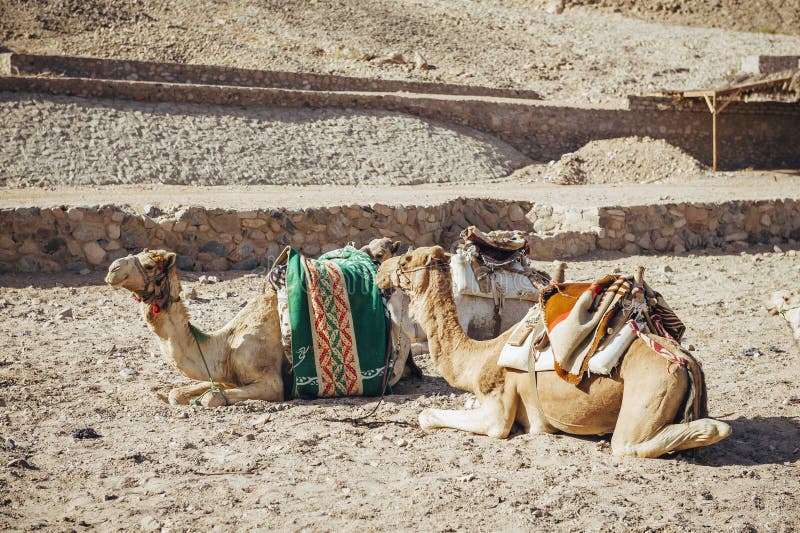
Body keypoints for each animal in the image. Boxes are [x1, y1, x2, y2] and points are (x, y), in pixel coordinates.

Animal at [105, 249, 412, 407]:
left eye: (148, 265)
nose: (112, 269)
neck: (224, 346)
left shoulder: (269, 381)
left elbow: (211, 399)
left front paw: (207, 399)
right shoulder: (227, 376)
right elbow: (176, 393)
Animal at [376, 246, 731, 458]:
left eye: (405, 260)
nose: (379, 271)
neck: (478, 357)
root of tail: (686, 362)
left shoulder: (498, 411)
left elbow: (426, 415)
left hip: (649, 395)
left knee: (638, 441)